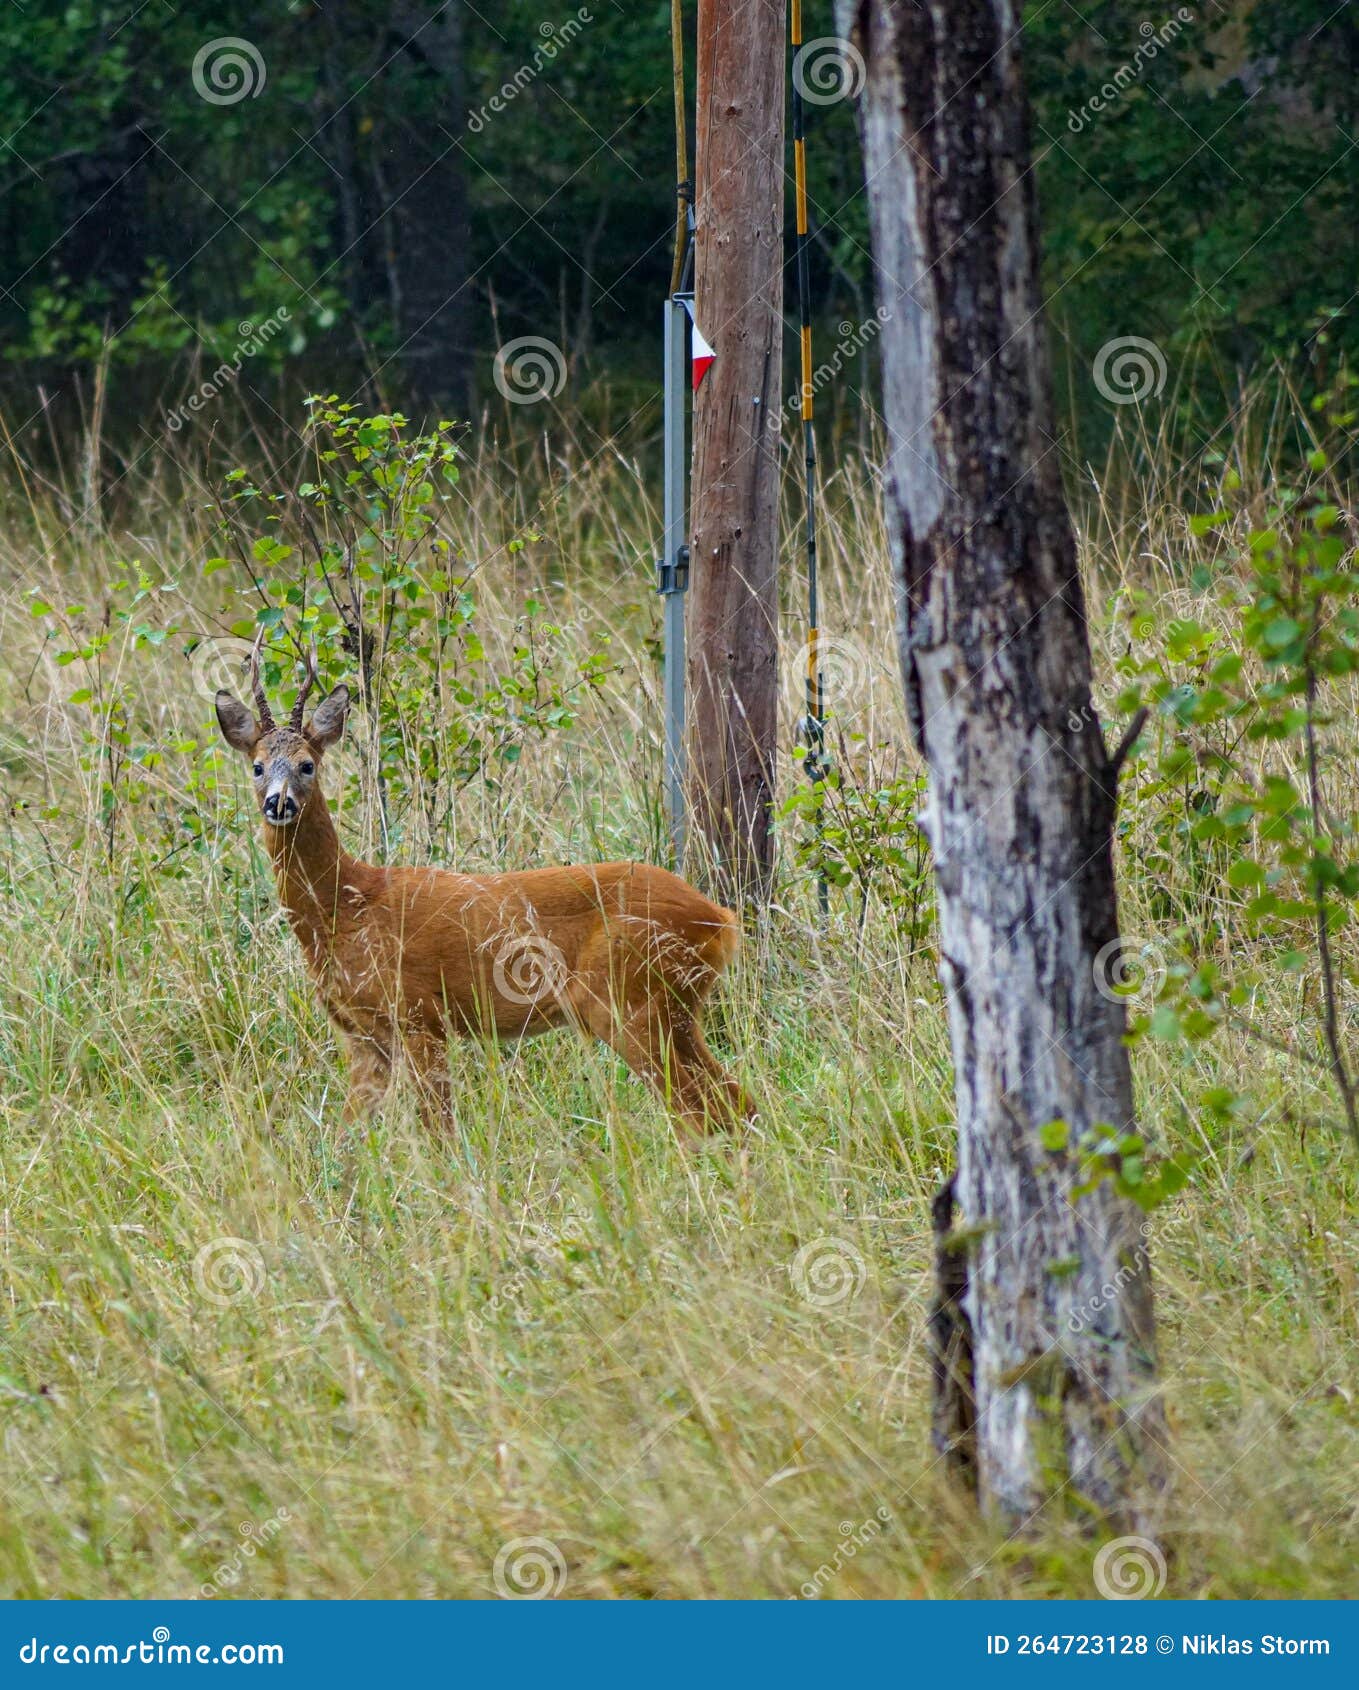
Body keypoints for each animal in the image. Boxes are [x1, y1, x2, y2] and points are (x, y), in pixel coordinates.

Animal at [215, 634, 752, 1138]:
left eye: (307, 764)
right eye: (257, 765)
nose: (279, 803)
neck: (347, 905)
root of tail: (722, 920)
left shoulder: (419, 1013)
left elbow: (440, 1132)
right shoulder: (363, 1036)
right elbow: (345, 1136)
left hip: (630, 1001)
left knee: (703, 1109)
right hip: (671, 1009)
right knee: (734, 1102)